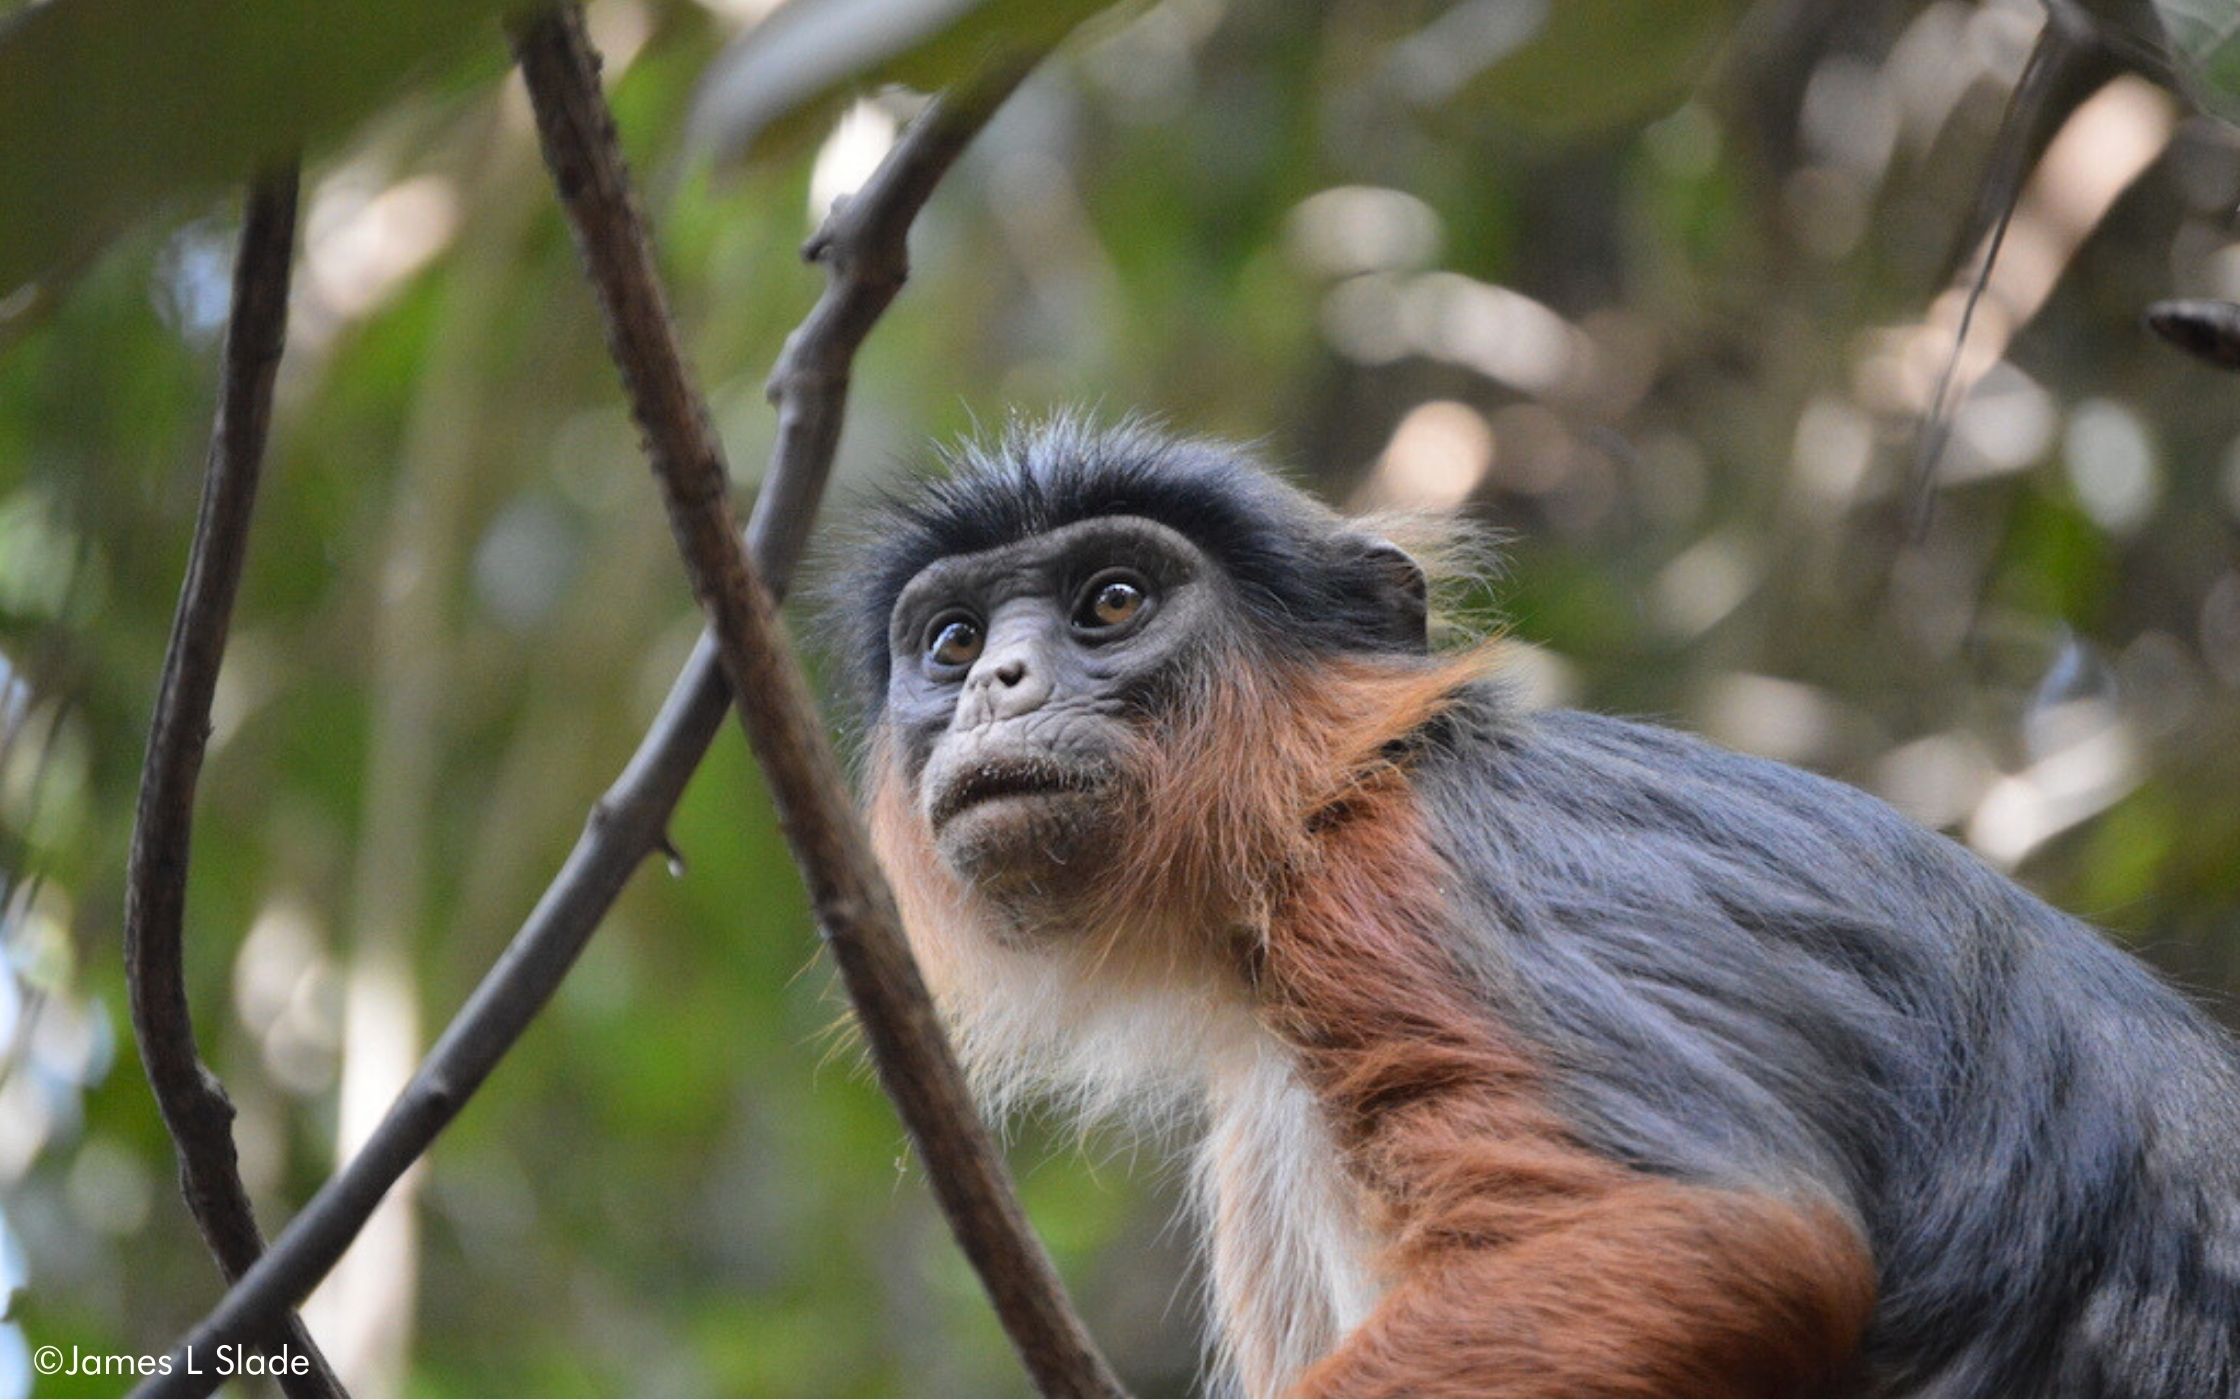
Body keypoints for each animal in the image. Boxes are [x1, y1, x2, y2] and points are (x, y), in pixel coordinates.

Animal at [829, 415, 2240, 1397]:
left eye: (1110, 601)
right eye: (954, 643)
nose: (1000, 681)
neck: (1324, 805)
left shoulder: (1403, 887)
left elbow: (1715, 1234)